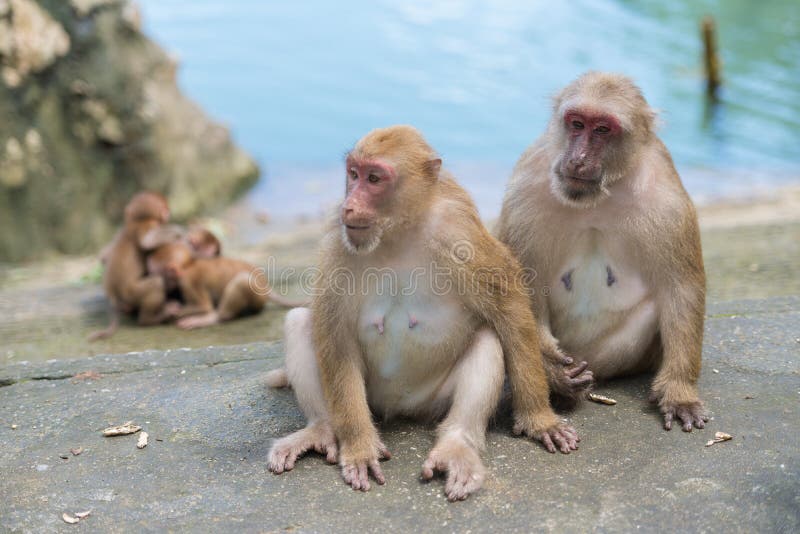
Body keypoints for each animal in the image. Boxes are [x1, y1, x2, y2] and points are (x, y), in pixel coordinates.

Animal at [88, 191, 176, 341]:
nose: (168, 212)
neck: (134, 220)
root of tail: (113, 294)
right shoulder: (148, 225)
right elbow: (147, 242)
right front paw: (178, 232)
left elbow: (104, 255)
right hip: (131, 293)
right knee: (156, 283)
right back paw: (149, 320)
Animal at [145, 241, 303, 329]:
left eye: (153, 270)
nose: (148, 274)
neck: (188, 265)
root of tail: (267, 287)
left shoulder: (187, 282)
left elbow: (203, 306)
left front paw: (172, 309)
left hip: (256, 296)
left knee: (241, 281)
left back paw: (214, 317)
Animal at [265, 125, 579, 501]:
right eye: (353, 174)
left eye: (374, 178)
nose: (349, 205)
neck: (398, 231)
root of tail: (400, 408)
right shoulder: (340, 245)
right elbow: (334, 334)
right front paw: (359, 448)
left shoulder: (459, 232)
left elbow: (509, 303)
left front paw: (538, 418)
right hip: (371, 400)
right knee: (300, 323)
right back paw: (320, 429)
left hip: (432, 401)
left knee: (488, 338)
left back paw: (456, 446)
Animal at [496, 72, 708, 432]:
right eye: (577, 123)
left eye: (603, 130)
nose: (578, 159)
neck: (597, 197)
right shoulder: (526, 186)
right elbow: (519, 288)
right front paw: (555, 375)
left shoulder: (668, 201)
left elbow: (680, 288)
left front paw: (679, 392)